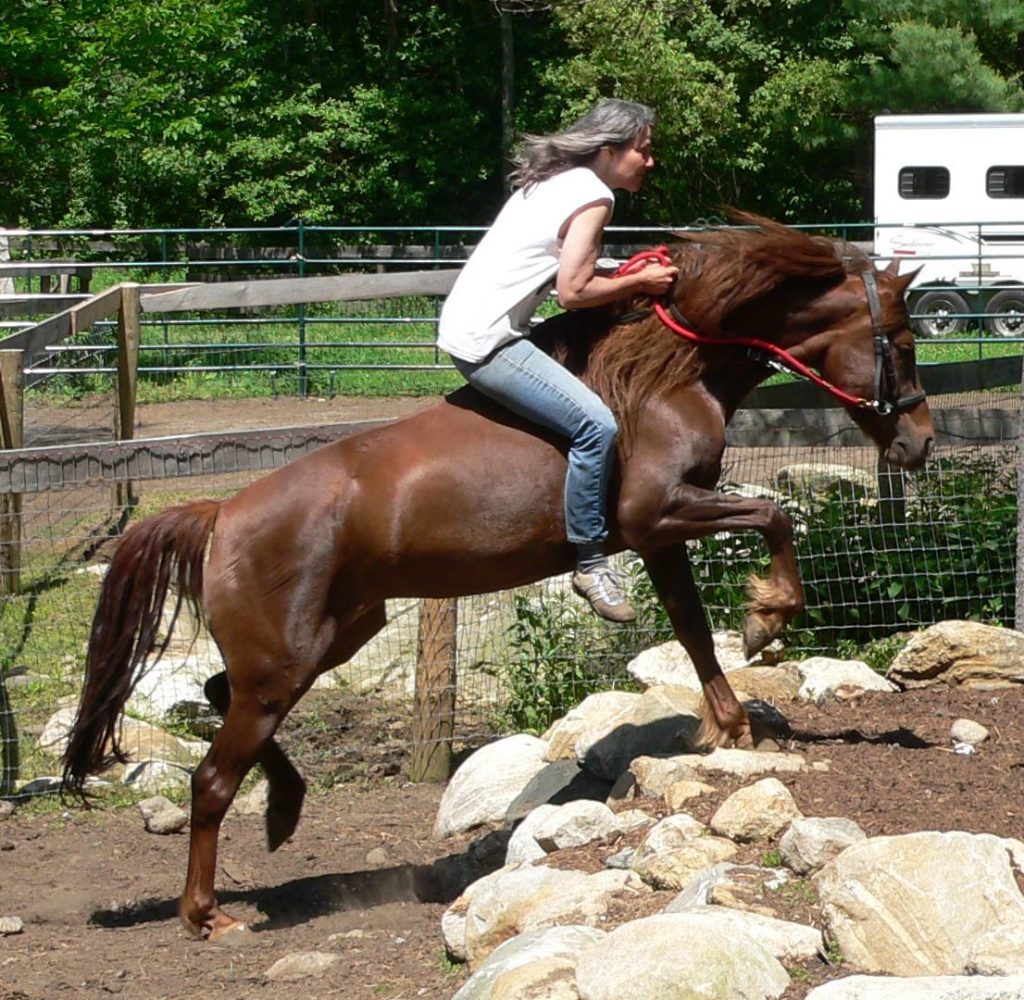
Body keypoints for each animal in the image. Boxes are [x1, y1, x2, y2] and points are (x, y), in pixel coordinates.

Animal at [61, 214, 934, 941]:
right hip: (288, 660)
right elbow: (774, 519)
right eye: (901, 340)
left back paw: (285, 808)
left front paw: (730, 722)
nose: (920, 442)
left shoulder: (658, 537)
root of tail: (223, 512)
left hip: (334, 635)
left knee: (217, 695)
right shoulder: (660, 514)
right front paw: (767, 617)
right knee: (211, 777)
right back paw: (207, 913)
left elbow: (692, 629)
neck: (662, 374)